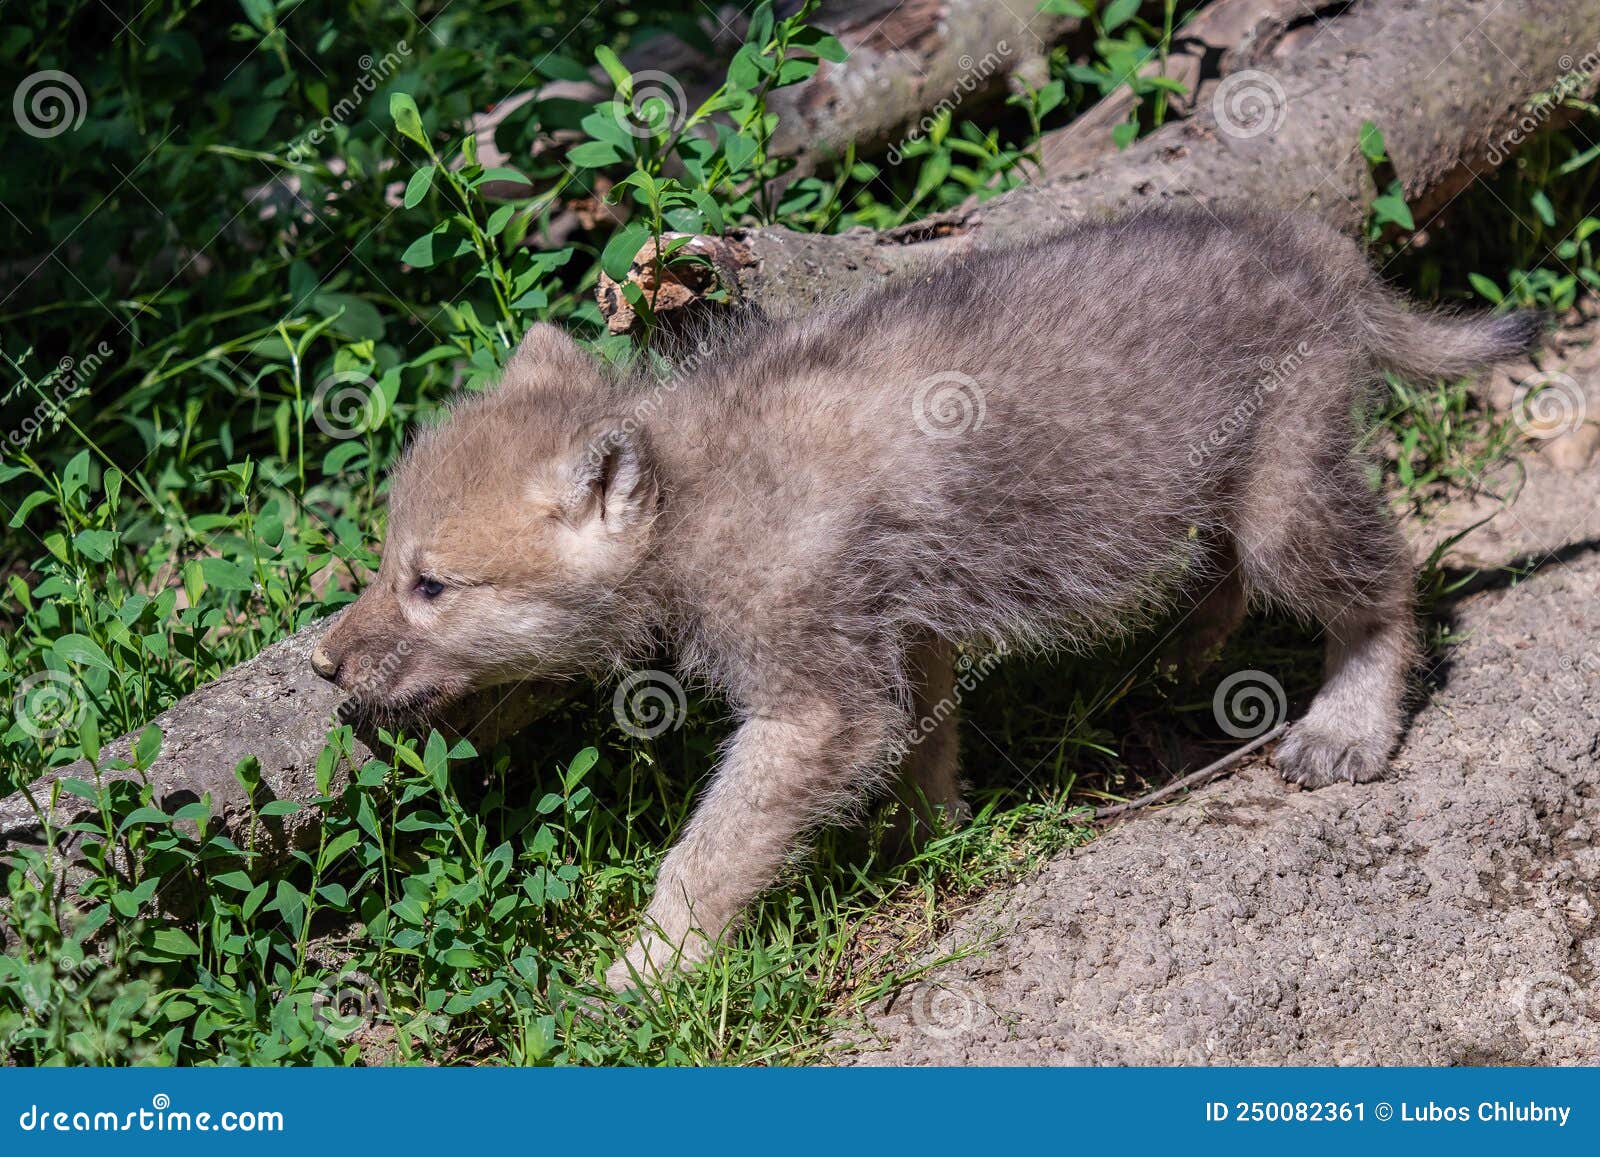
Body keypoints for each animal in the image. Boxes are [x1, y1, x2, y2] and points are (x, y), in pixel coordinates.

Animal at [310, 209, 1536, 989]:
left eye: (429, 585)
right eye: (385, 564)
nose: (322, 663)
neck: (694, 494)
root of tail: (1324, 248)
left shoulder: (816, 704)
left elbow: (705, 855)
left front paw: (642, 977)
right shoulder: (906, 630)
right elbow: (928, 746)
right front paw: (927, 842)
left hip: (1289, 495)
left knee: (1389, 583)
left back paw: (1347, 726)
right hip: (1225, 479)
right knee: (1227, 566)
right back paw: (1184, 656)